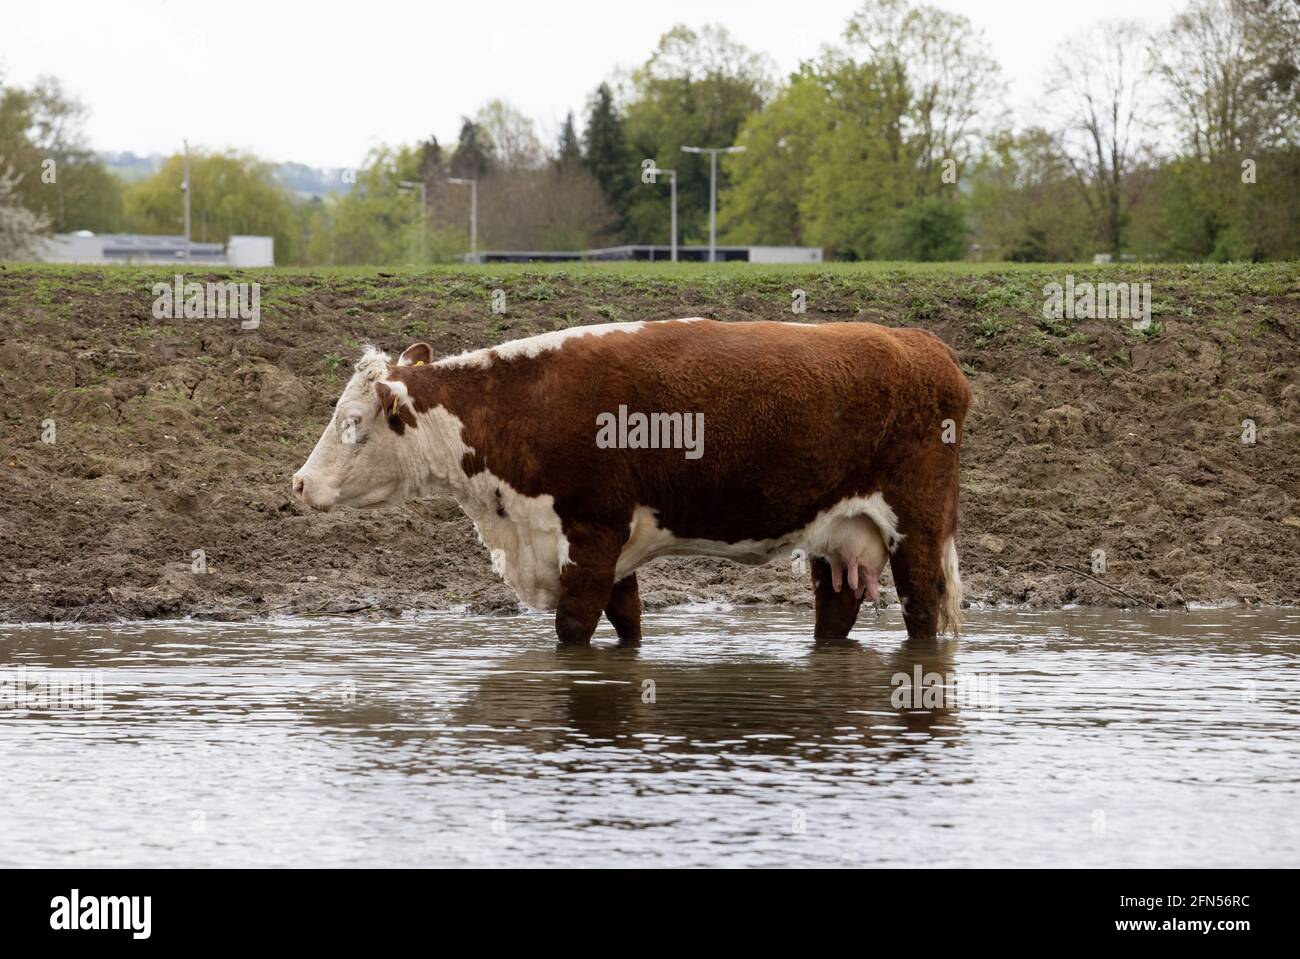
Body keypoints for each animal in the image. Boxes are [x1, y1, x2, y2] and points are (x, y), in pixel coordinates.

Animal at [292, 318, 971, 645]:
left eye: (353, 422)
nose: (298, 484)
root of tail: (924, 346)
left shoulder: (590, 534)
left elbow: (573, 628)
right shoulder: (608, 551)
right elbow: (629, 624)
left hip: (917, 525)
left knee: (921, 609)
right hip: (839, 533)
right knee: (836, 609)